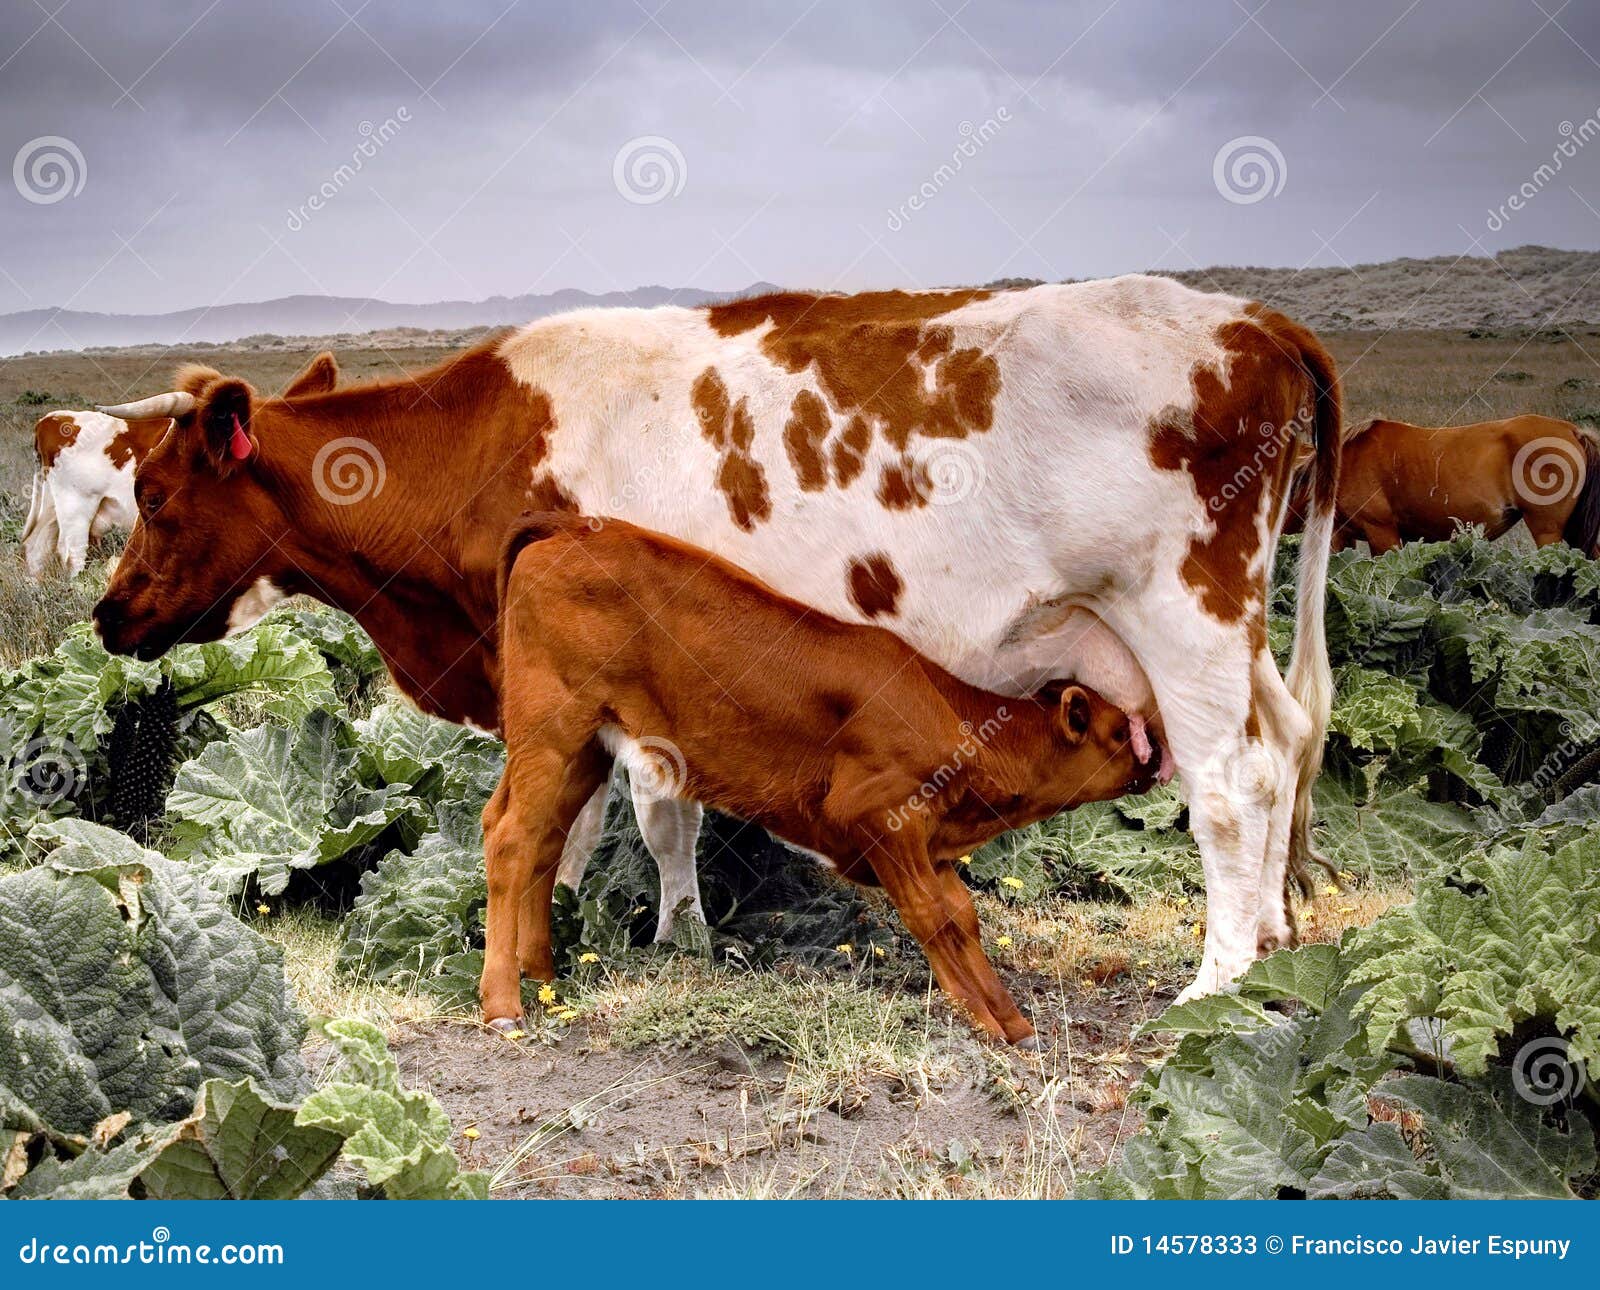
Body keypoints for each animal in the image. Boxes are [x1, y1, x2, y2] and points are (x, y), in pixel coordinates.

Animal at [490, 511, 1156, 1043]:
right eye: (1116, 732)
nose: (1155, 758)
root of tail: (570, 527)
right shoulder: (879, 817)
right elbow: (931, 917)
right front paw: (985, 1024)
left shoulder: (930, 840)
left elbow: (963, 916)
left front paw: (1012, 1020)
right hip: (550, 729)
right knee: (510, 840)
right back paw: (503, 1004)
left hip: (583, 748)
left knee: (543, 841)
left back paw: (543, 974)